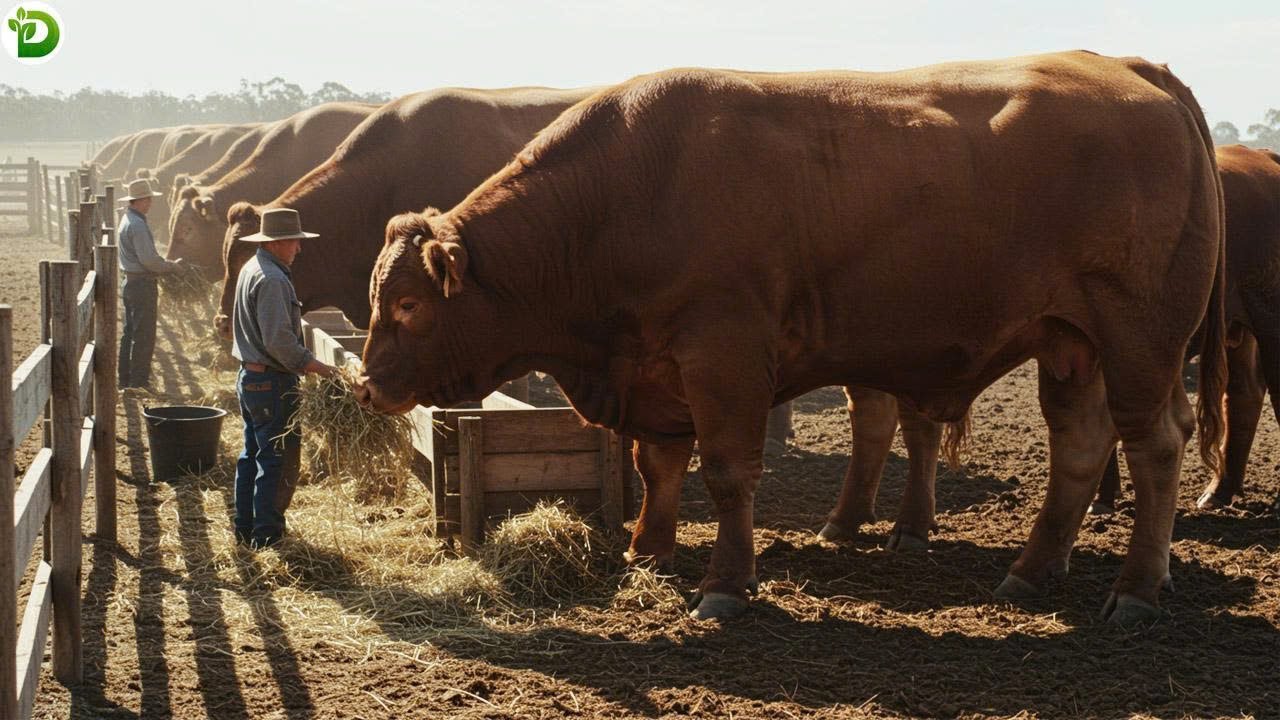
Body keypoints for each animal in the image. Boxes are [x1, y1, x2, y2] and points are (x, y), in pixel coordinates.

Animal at [354, 52, 1227, 626]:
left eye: (408, 305)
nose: (365, 385)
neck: (627, 195)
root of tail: (1131, 73)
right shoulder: (658, 373)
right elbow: (657, 465)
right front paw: (647, 550)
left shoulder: (724, 357)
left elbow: (729, 474)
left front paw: (724, 584)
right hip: (1070, 343)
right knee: (1078, 448)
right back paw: (1032, 571)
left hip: (1139, 340)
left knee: (1156, 447)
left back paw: (1135, 591)